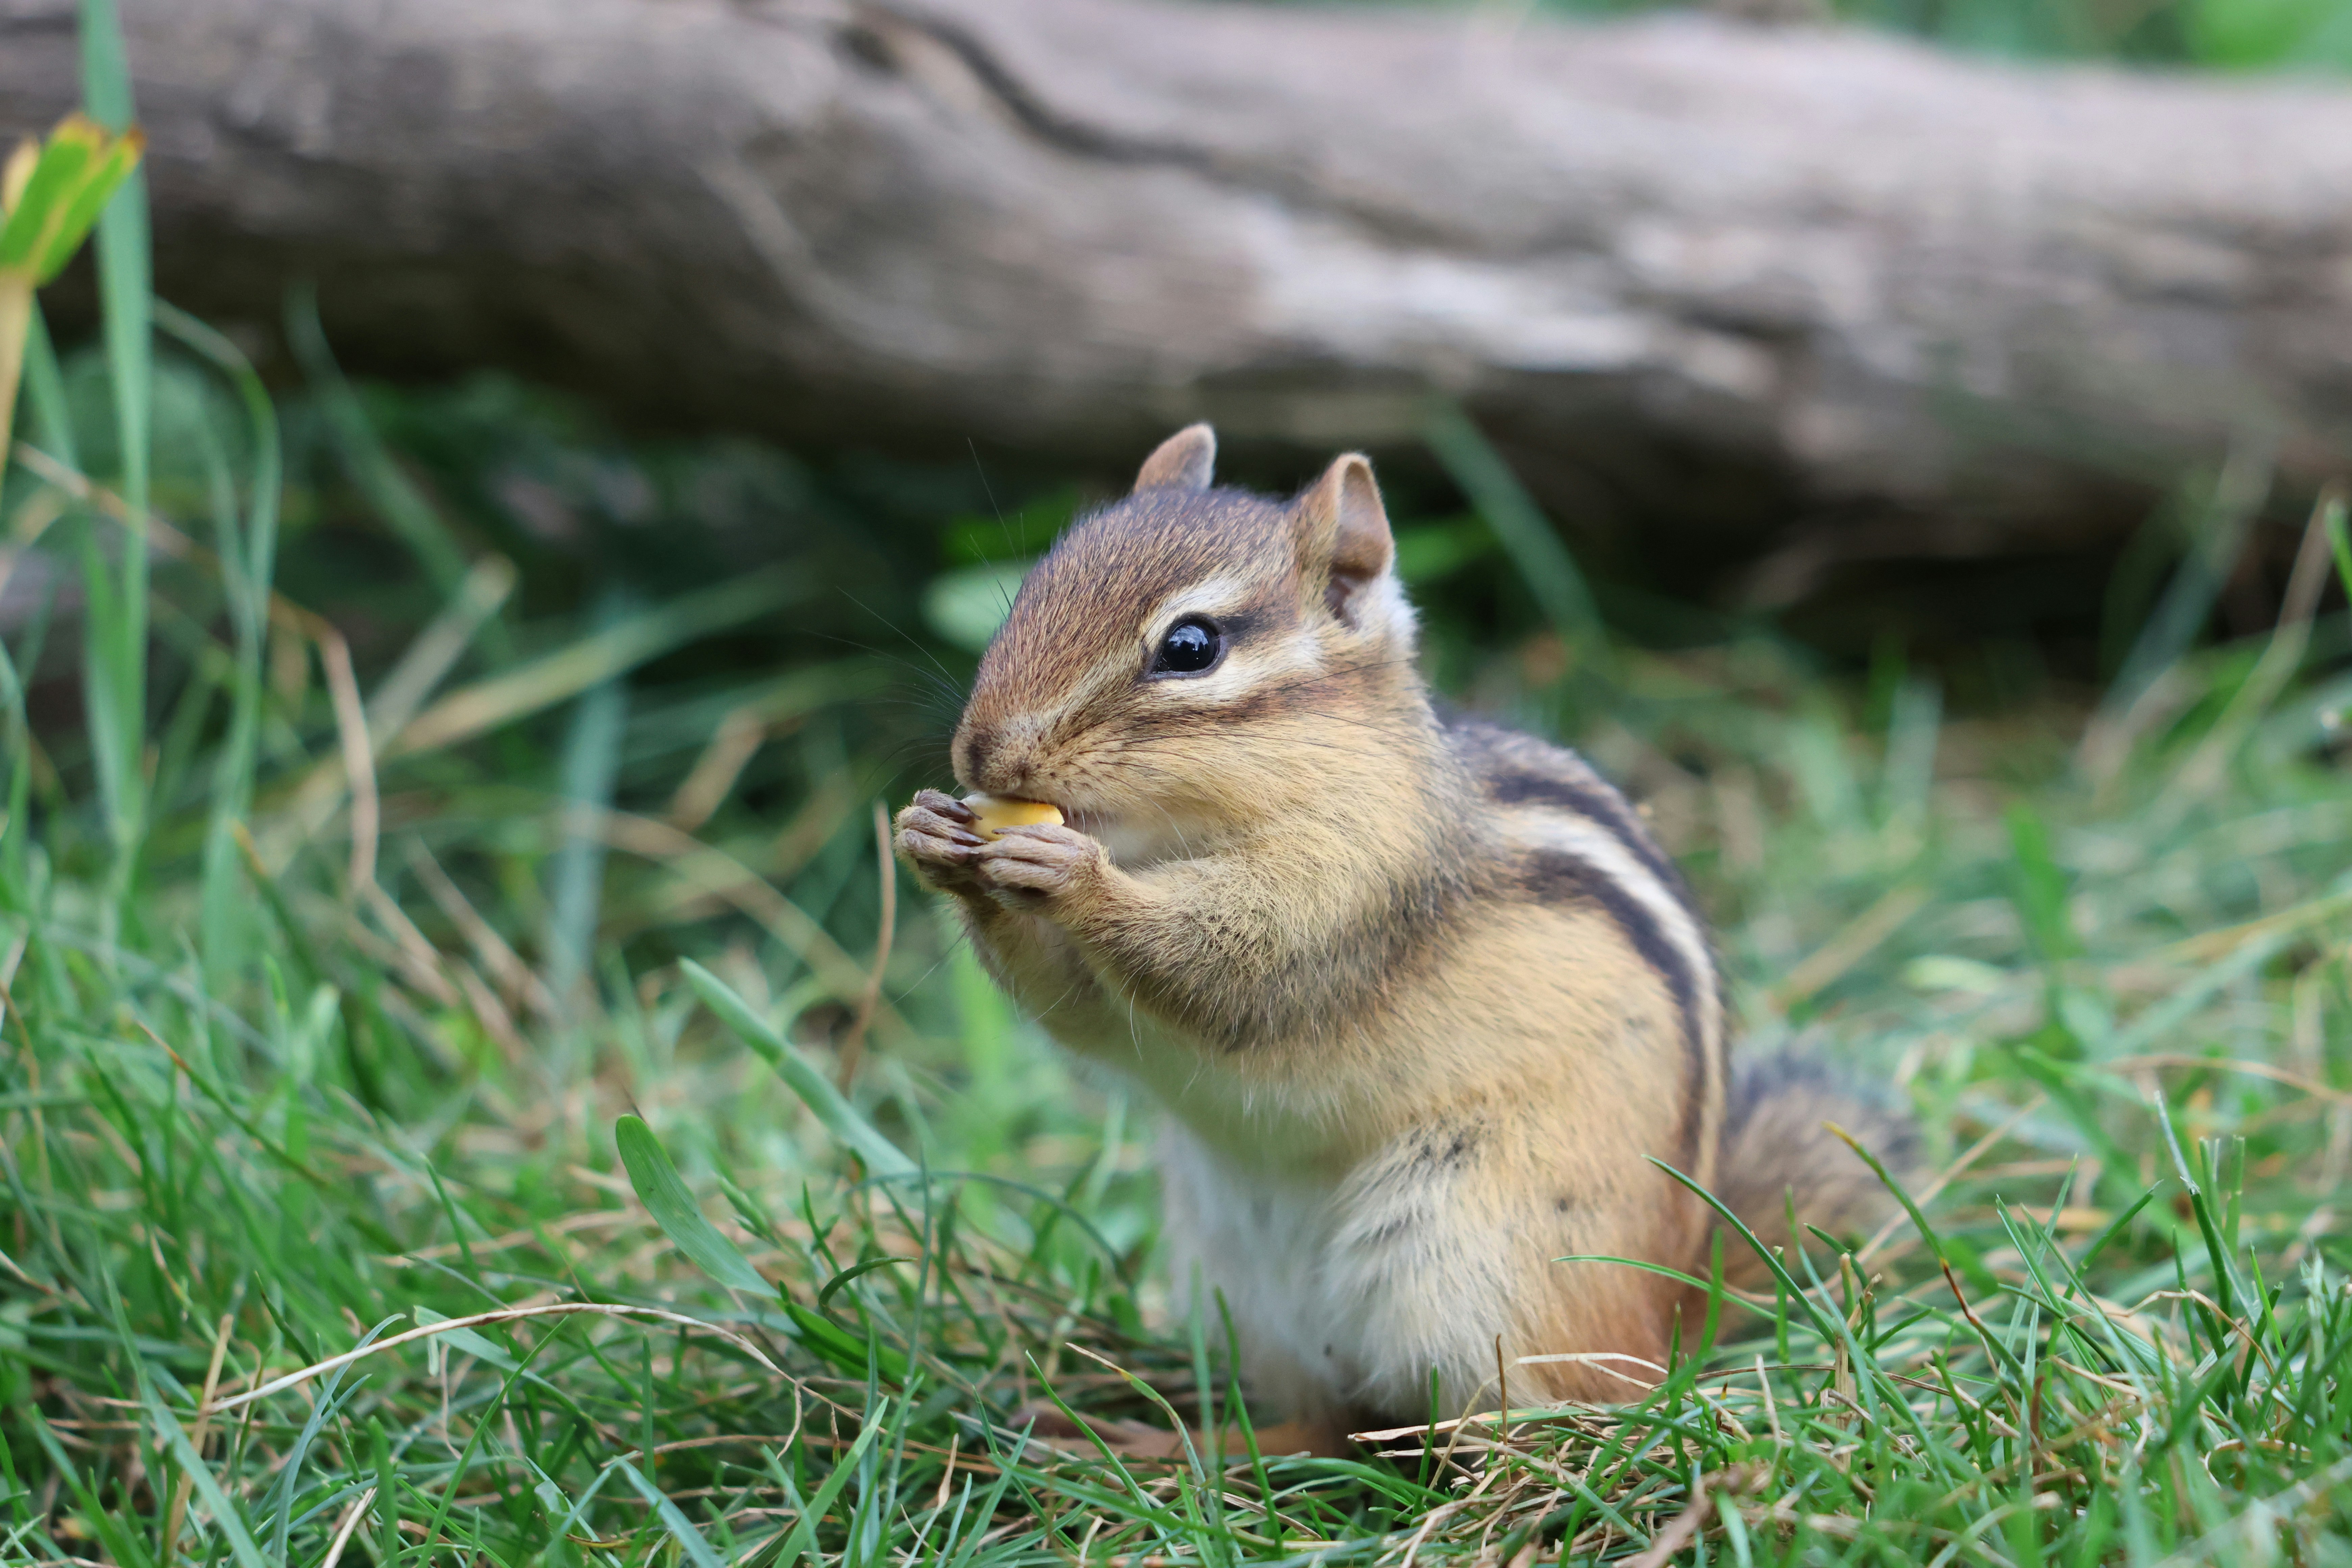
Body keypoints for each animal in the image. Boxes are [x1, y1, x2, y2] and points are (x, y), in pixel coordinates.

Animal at [895, 425, 1913, 1453]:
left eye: (1190, 647)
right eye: (1032, 588)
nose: (979, 754)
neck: (1175, 837)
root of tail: (1668, 1314)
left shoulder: (1351, 893)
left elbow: (1227, 966)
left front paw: (1074, 874)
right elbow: (1082, 1012)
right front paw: (936, 838)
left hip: (1468, 1256)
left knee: (1529, 1415)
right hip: (1245, 1284)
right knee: (1316, 1424)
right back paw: (1158, 1444)